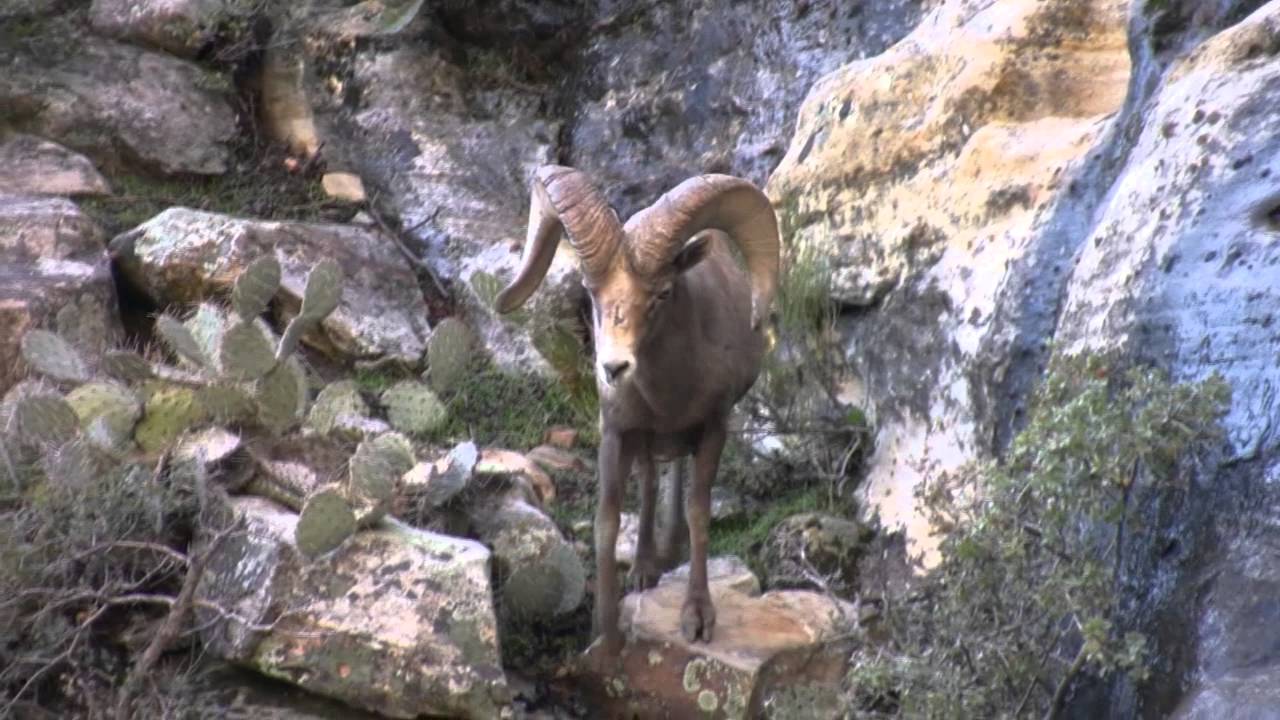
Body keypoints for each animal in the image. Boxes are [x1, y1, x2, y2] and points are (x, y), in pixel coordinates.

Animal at [495, 165, 779, 656]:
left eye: (662, 292)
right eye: (591, 290)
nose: (614, 367)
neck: (667, 396)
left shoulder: (713, 429)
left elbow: (698, 512)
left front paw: (697, 619)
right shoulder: (616, 434)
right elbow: (606, 523)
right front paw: (602, 635)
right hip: (644, 442)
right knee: (647, 482)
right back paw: (646, 568)